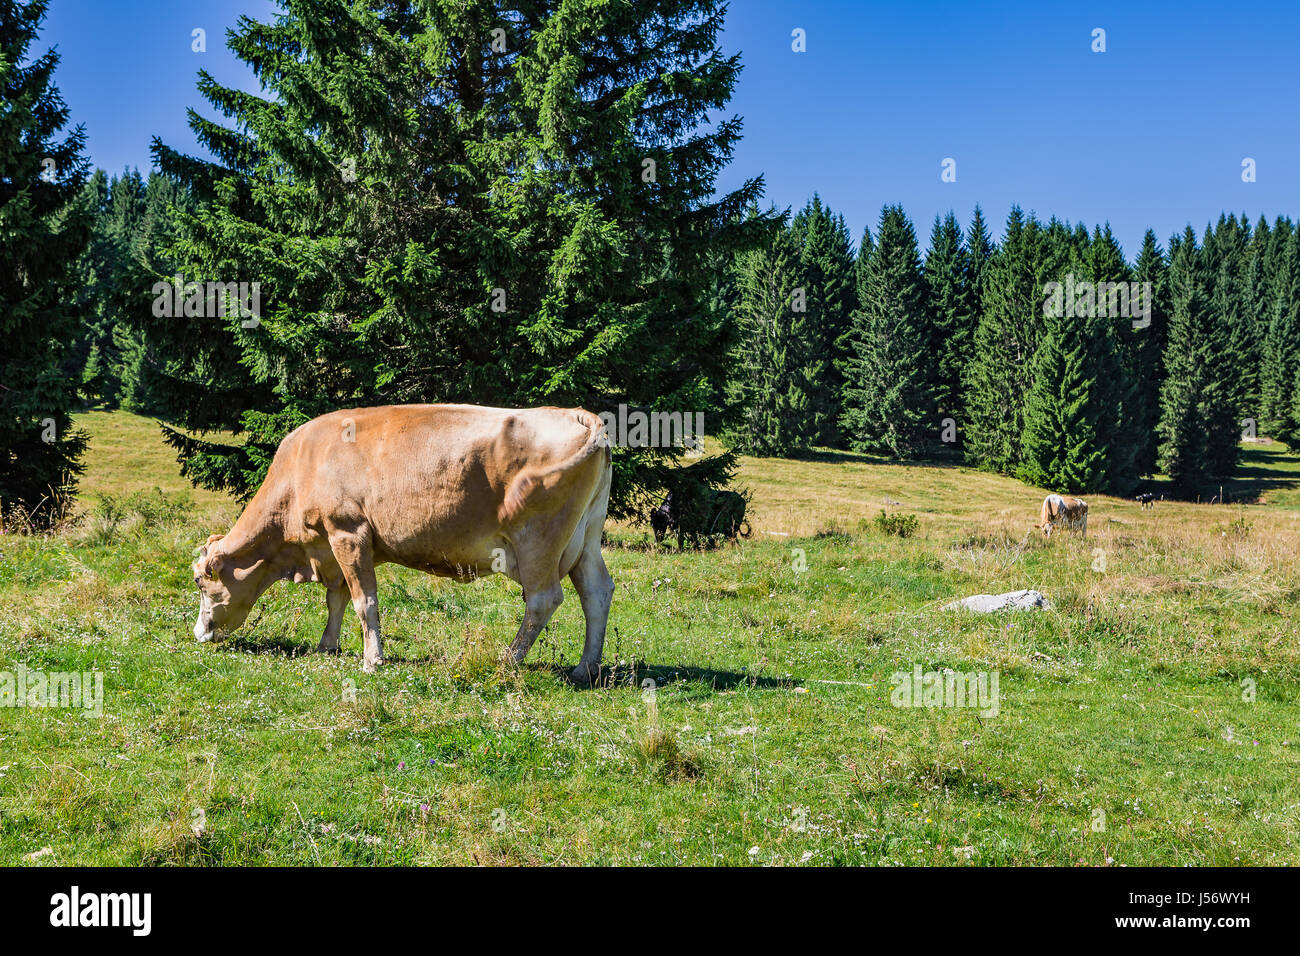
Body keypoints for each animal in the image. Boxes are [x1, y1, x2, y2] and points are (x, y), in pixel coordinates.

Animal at [191, 404, 614, 685]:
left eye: (199, 582)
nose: (197, 633)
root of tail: (577, 414)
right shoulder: (335, 543)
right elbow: (337, 598)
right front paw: (327, 645)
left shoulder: (348, 532)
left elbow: (364, 602)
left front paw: (372, 660)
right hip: (587, 537)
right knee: (596, 591)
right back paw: (585, 668)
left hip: (537, 541)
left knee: (543, 600)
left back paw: (508, 660)